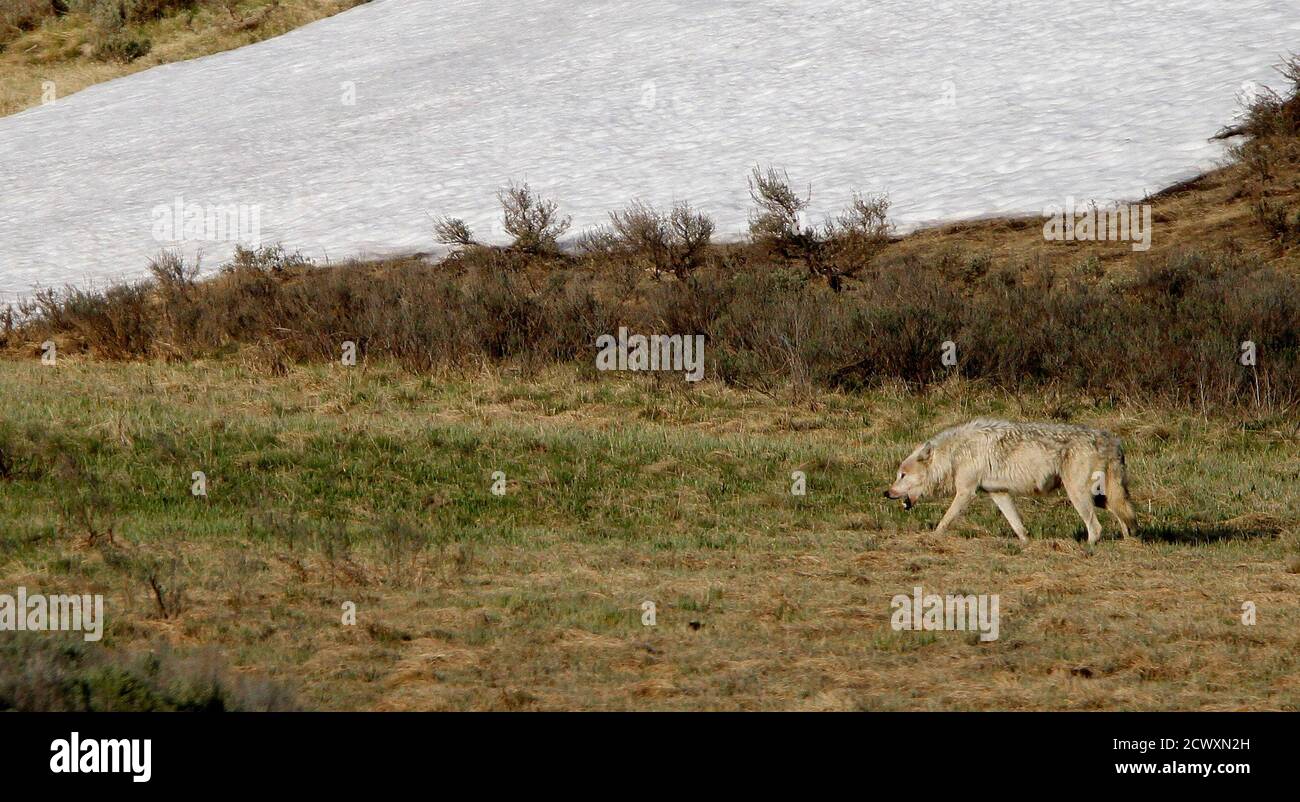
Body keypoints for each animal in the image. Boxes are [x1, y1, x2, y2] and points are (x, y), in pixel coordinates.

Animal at [884, 419, 1136, 544]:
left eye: (902, 475)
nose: (886, 493)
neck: (955, 454)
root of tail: (1112, 440)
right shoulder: (999, 493)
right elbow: (1017, 525)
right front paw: (1025, 543)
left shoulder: (966, 493)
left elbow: (945, 521)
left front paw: (931, 538)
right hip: (1101, 497)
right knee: (1125, 517)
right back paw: (1128, 544)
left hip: (1079, 495)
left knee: (1096, 527)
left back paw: (1087, 549)